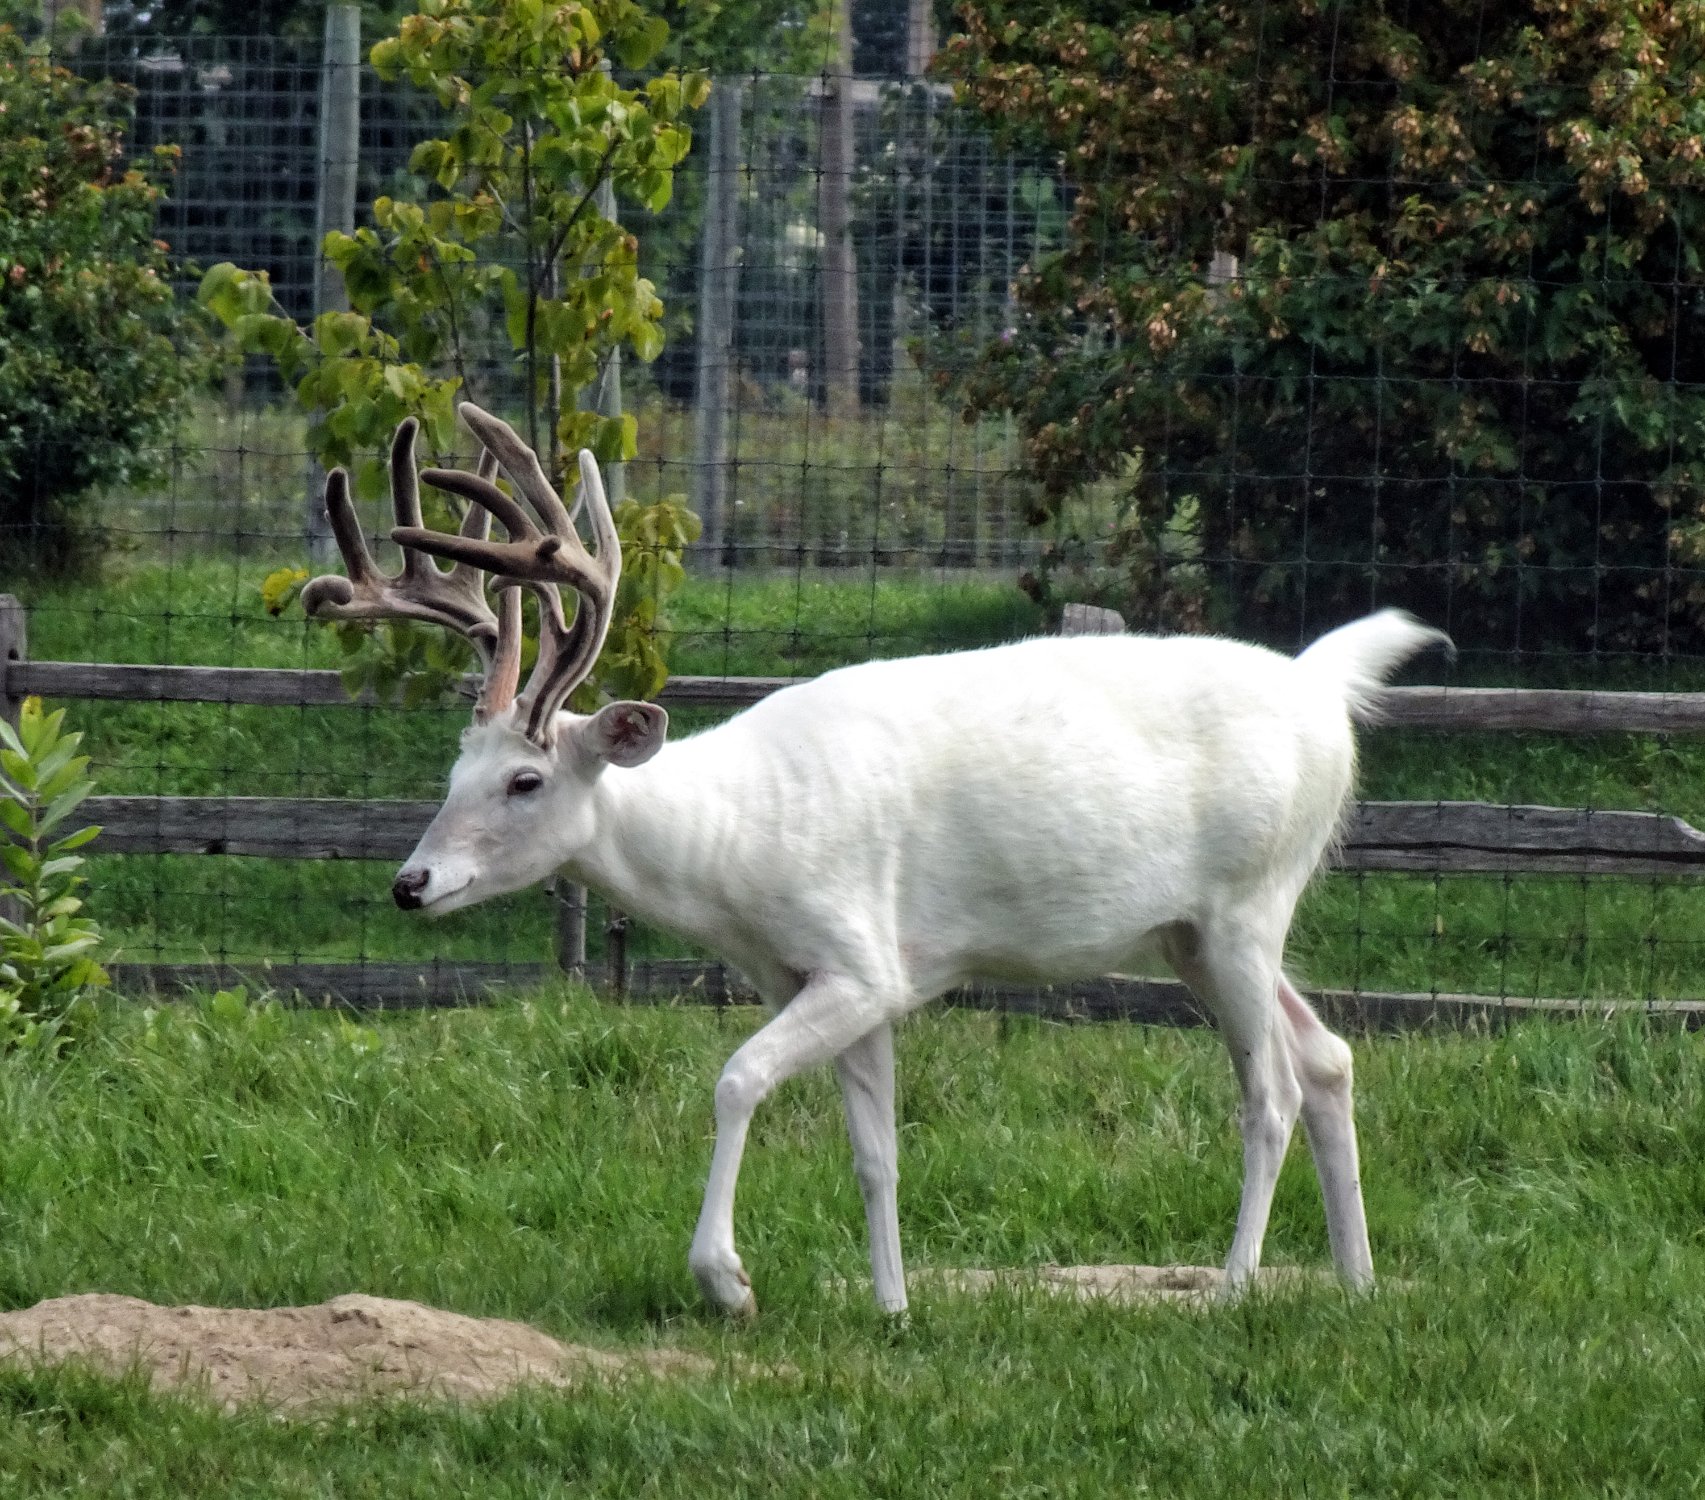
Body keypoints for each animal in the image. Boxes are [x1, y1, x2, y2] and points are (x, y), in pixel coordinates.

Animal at [302, 402, 1451, 1318]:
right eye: (455, 767)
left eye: (525, 781)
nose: (410, 884)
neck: (737, 848)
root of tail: (1325, 691)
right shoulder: (833, 979)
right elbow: (876, 1151)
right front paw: (892, 1307)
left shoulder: (860, 958)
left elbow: (735, 1078)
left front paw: (729, 1281)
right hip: (1189, 936)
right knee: (1330, 1056)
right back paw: (1356, 1282)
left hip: (1249, 901)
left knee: (1272, 1091)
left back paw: (1234, 1286)